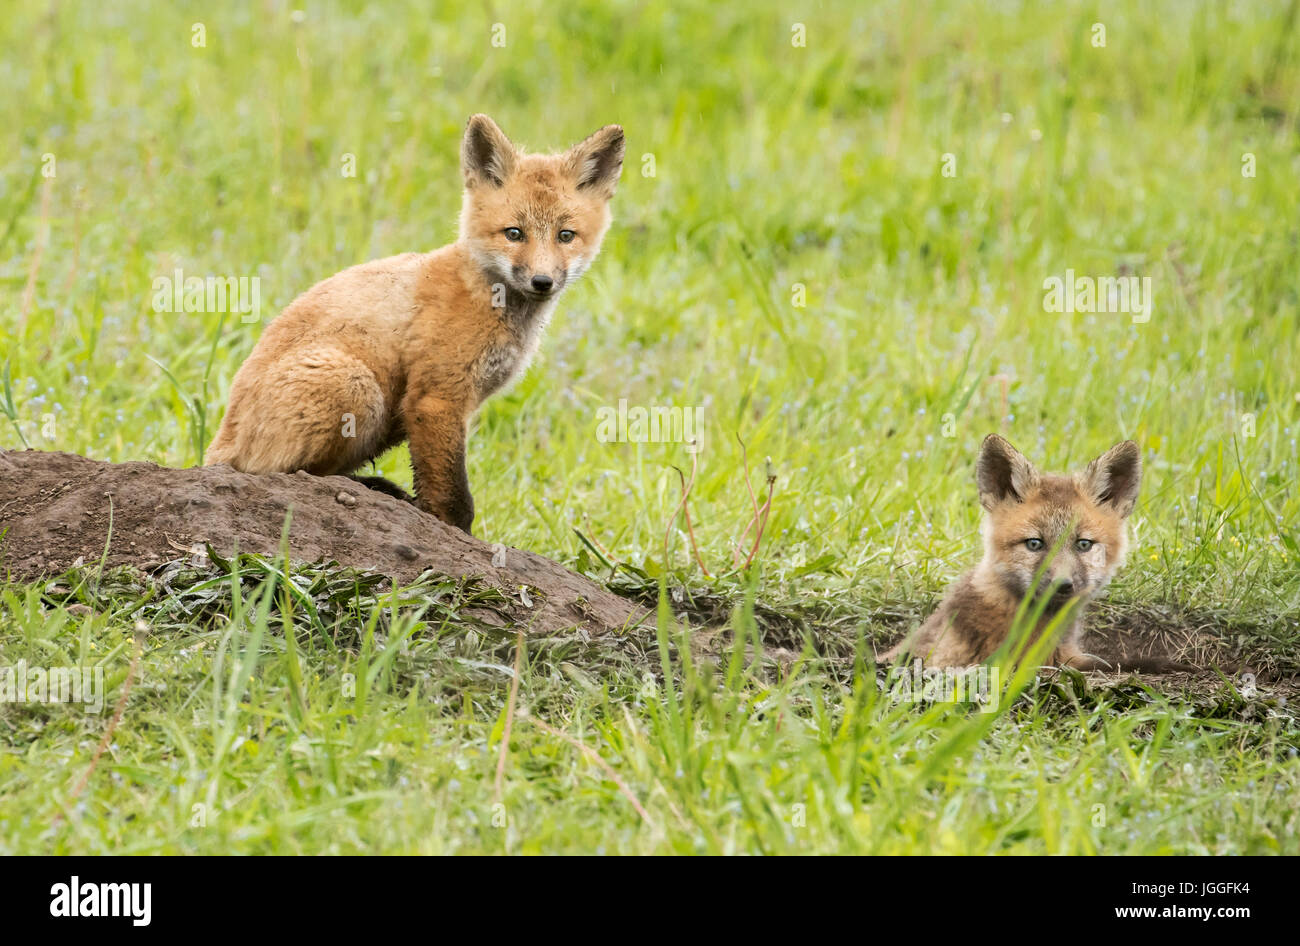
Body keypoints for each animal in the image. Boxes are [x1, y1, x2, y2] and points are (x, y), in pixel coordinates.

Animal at [206, 114, 625, 534]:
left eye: (565, 236)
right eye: (514, 233)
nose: (542, 281)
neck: (484, 296)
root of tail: (216, 448)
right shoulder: (437, 399)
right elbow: (455, 498)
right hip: (355, 386)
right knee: (292, 472)